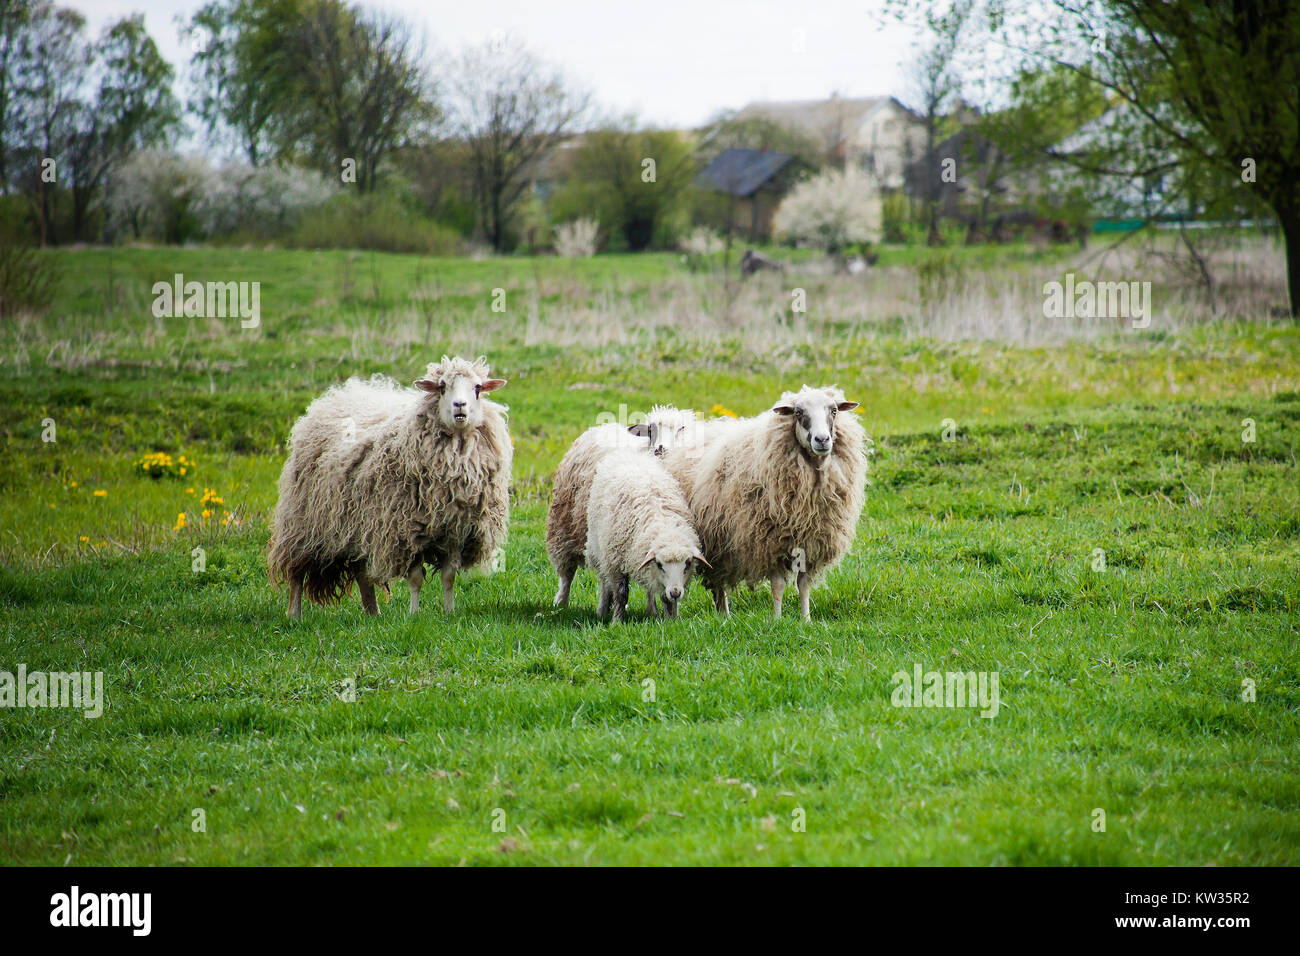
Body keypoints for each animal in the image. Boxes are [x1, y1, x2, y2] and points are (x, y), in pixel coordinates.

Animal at [267, 355, 511, 618]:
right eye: (442, 386)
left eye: (477, 388)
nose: (460, 405)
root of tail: (333, 396)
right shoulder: (406, 530)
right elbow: (415, 579)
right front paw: (414, 615)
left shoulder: (455, 531)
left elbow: (449, 577)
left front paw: (449, 613)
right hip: (304, 520)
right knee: (296, 570)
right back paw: (294, 614)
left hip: (358, 523)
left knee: (362, 573)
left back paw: (373, 614)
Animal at [545, 405, 695, 609]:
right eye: (650, 430)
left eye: (681, 429)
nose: (660, 449)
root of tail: (601, 427)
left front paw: (652, 610)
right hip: (567, 524)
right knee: (568, 571)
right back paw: (563, 602)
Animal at [584, 448, 708, 622]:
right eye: (660, 564)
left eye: (688, 563)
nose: (676, 593)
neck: (663, 525)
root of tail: (629, 454)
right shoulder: (615, 562)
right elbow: (621, 594)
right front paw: (617, 621)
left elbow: (665, 598)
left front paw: (671, 621)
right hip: (599, 548)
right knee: (604, 579)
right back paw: (602, 610)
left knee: (650, 588)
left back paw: (652, 612)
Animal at [663, 385, 866, 621]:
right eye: (798, 413)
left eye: (834, 411)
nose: (822, 439)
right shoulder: (770, 542)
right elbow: (777, 586)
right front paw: (777, 620)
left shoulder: (811, 543)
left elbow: (804, 585)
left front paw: (806, 620)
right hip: (715, 542)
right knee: (719, 584)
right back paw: (725, 616)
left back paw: (723, 615)